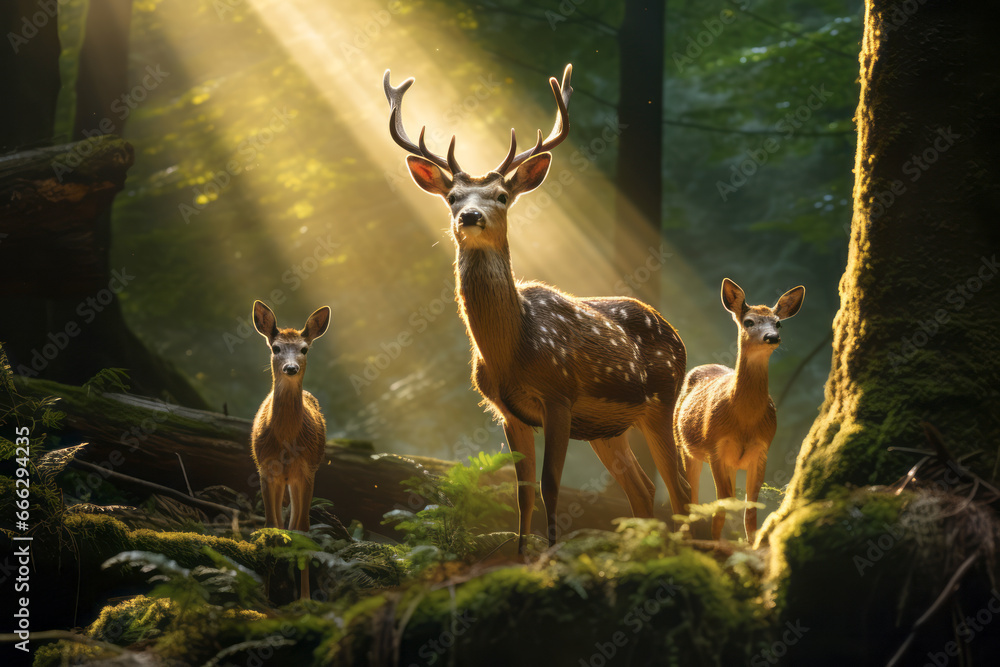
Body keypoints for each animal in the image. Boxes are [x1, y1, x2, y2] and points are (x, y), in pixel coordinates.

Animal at [250, 300, 330, 599]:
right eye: (276, 348)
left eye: (304, 349)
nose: (291, 368)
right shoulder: (265, 469)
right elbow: (270, 527)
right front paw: (266, 593)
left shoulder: (306, 472)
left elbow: (303, 531)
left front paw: (305, 599)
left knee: (296, 524)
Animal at [384, 64, 691, 555]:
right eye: (452, 197)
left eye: (501, 196)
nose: (469, 217)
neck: (510, 351)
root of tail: (677, 335)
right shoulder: (507, 411)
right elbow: (521, 491)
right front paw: (520, 554)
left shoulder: (559, 396)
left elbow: (550, 485)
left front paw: (550, 552)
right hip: (609, 427)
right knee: (643, 488)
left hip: (662, 400)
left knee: (679, 487)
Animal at [674, 279, 804, 543]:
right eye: (749, 322)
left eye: (778, 323)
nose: (772, 337)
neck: (744, 420)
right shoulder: (715, 447)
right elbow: (720, 507)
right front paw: (717, 543)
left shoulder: (762, 450)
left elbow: (750, 510)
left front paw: (752, 543)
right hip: (682, 444)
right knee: (693, 496)